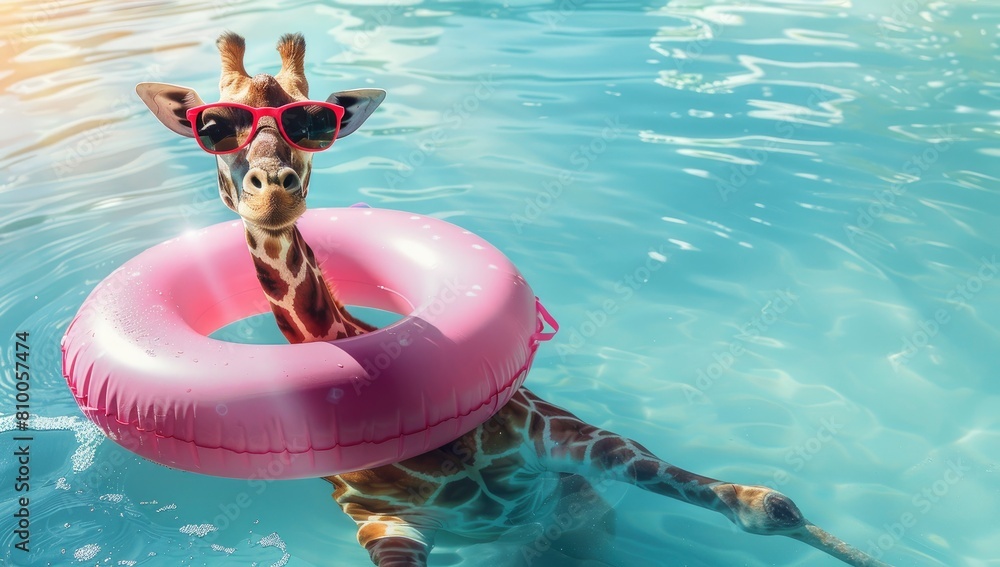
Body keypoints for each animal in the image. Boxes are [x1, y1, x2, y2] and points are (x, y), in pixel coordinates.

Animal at [136, 33, 893, 567]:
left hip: (580, 520)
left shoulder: (564, 440)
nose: (273, 188)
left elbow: (766, 505)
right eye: (216, 127)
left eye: (312, 119)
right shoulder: (386, 523)